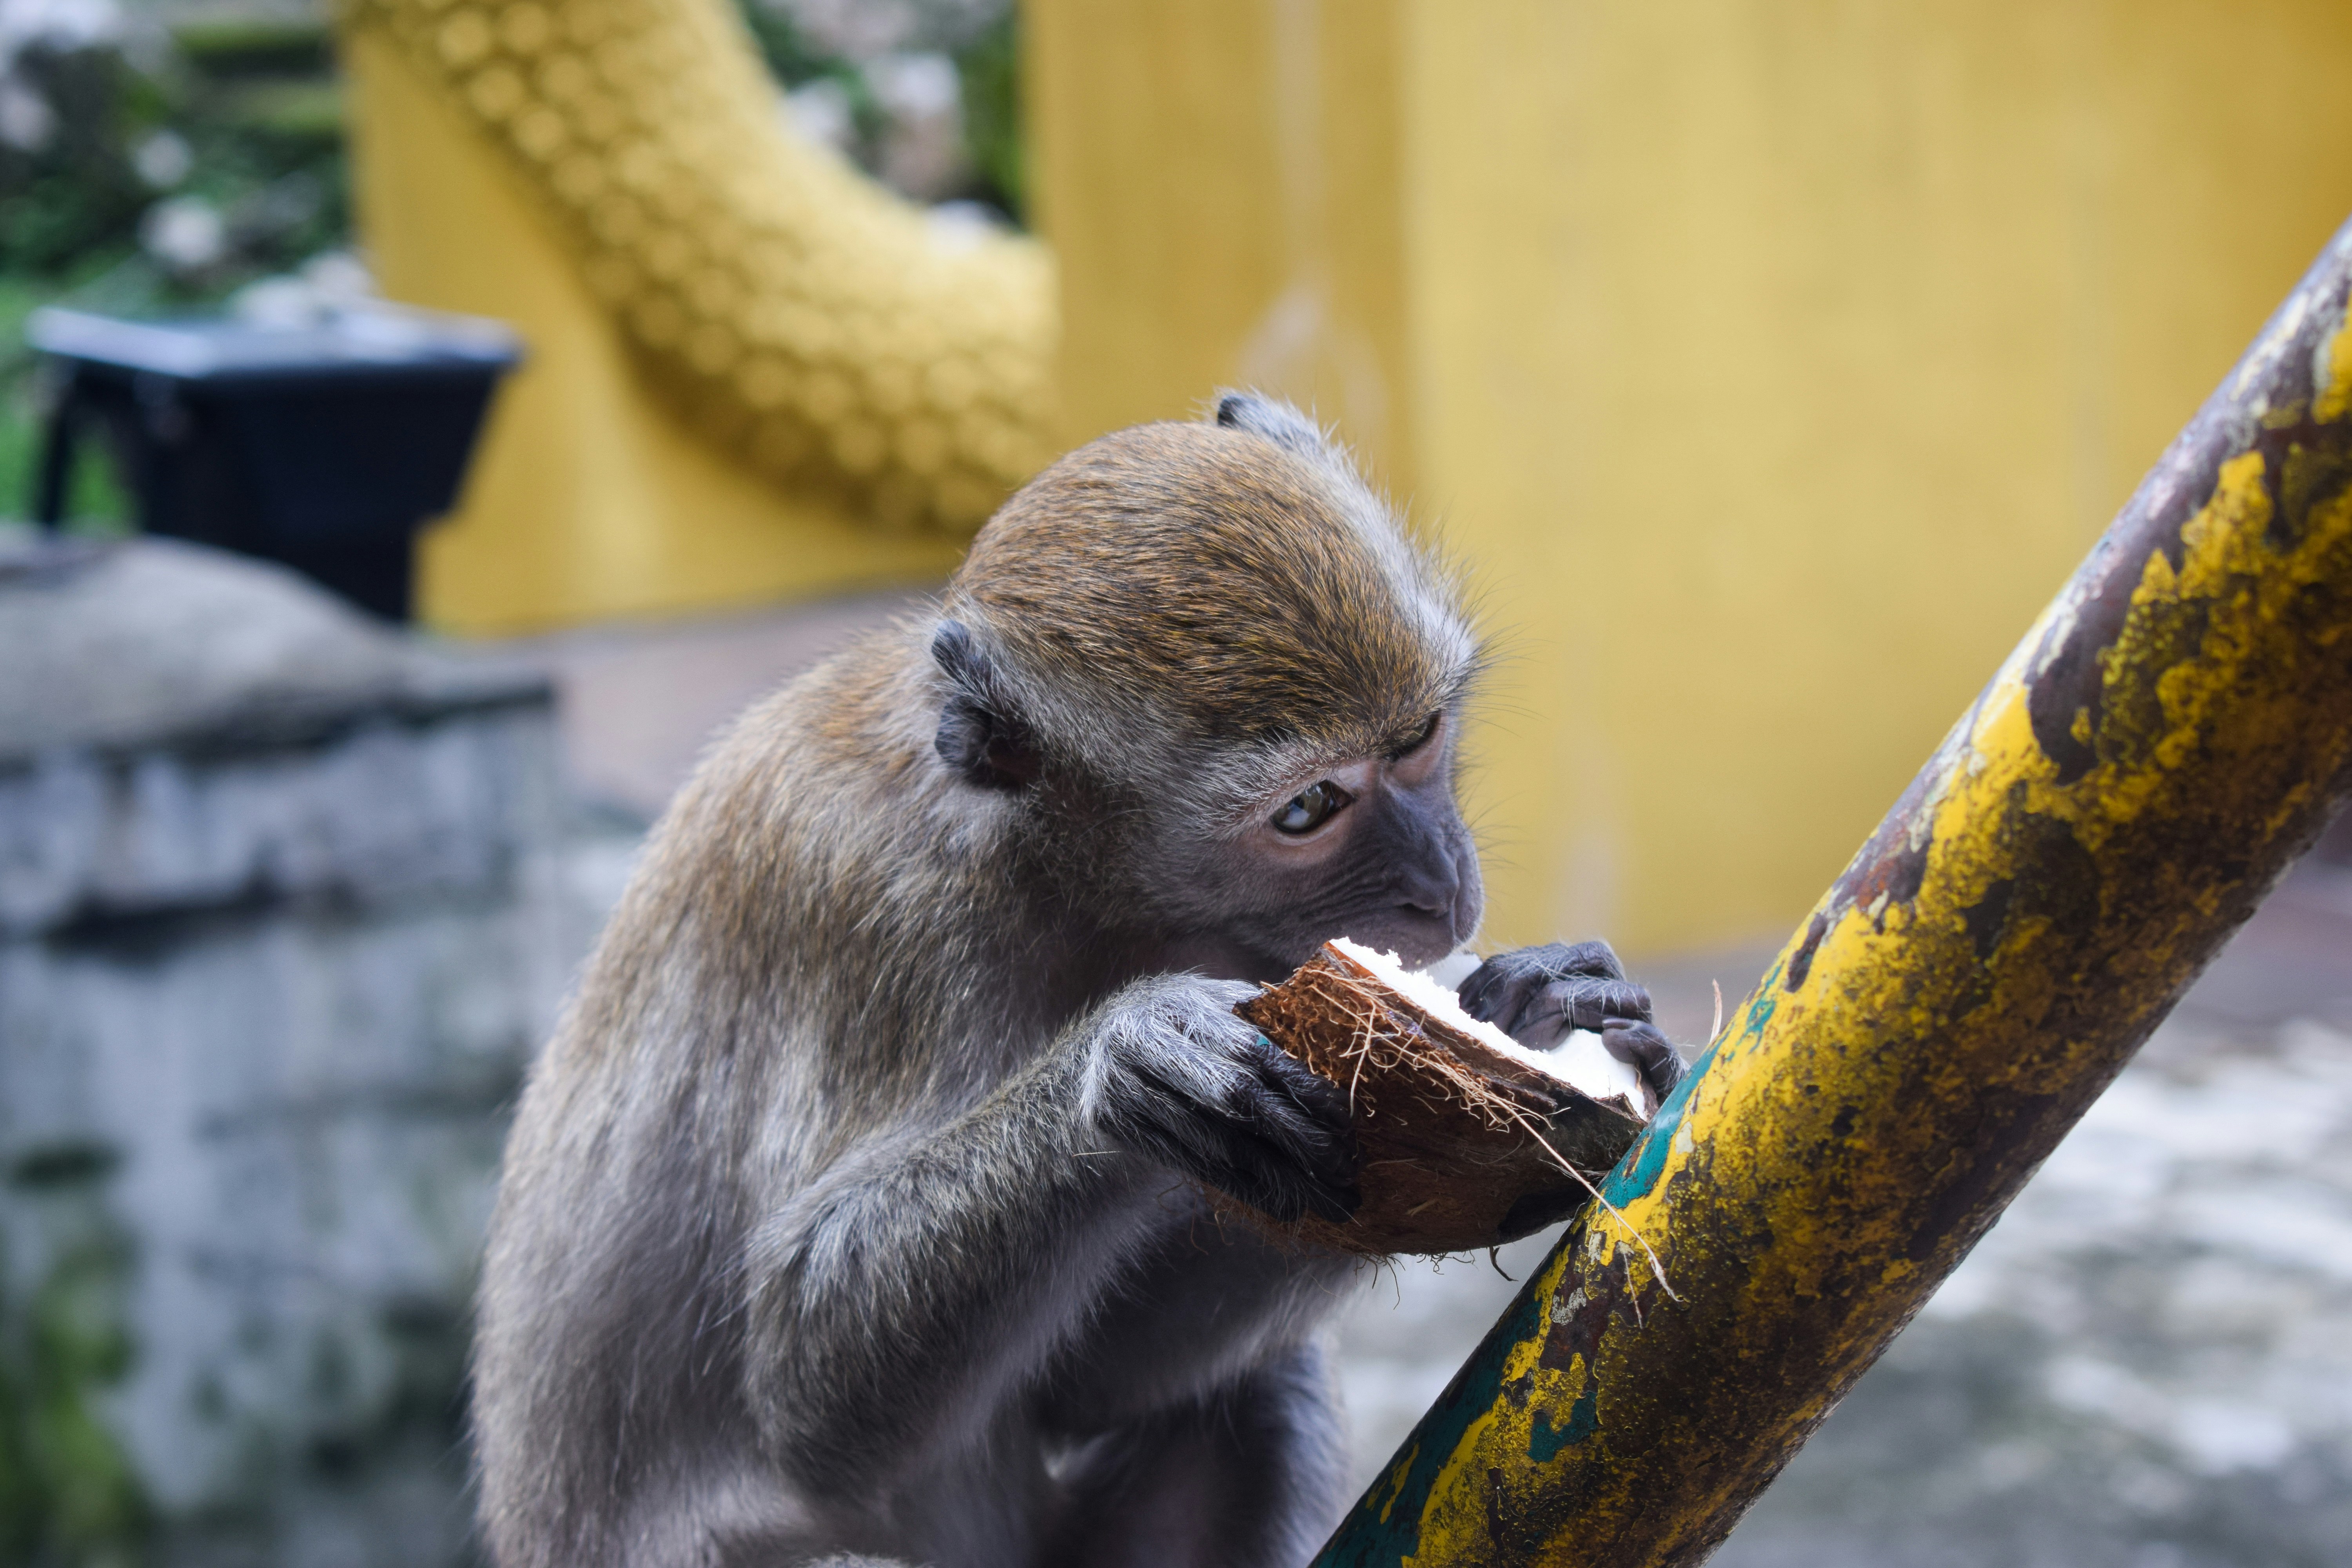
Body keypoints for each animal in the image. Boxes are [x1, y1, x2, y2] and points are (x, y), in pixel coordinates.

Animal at [470, 393, 1686, 1568]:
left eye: (1421, 735)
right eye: (1309, 809)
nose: (1441, 887)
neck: (1049, 861)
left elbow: (1086, 1388)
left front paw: (1533, 1006)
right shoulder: (888, 917)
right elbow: (808, 1390)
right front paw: (1126, 1068)